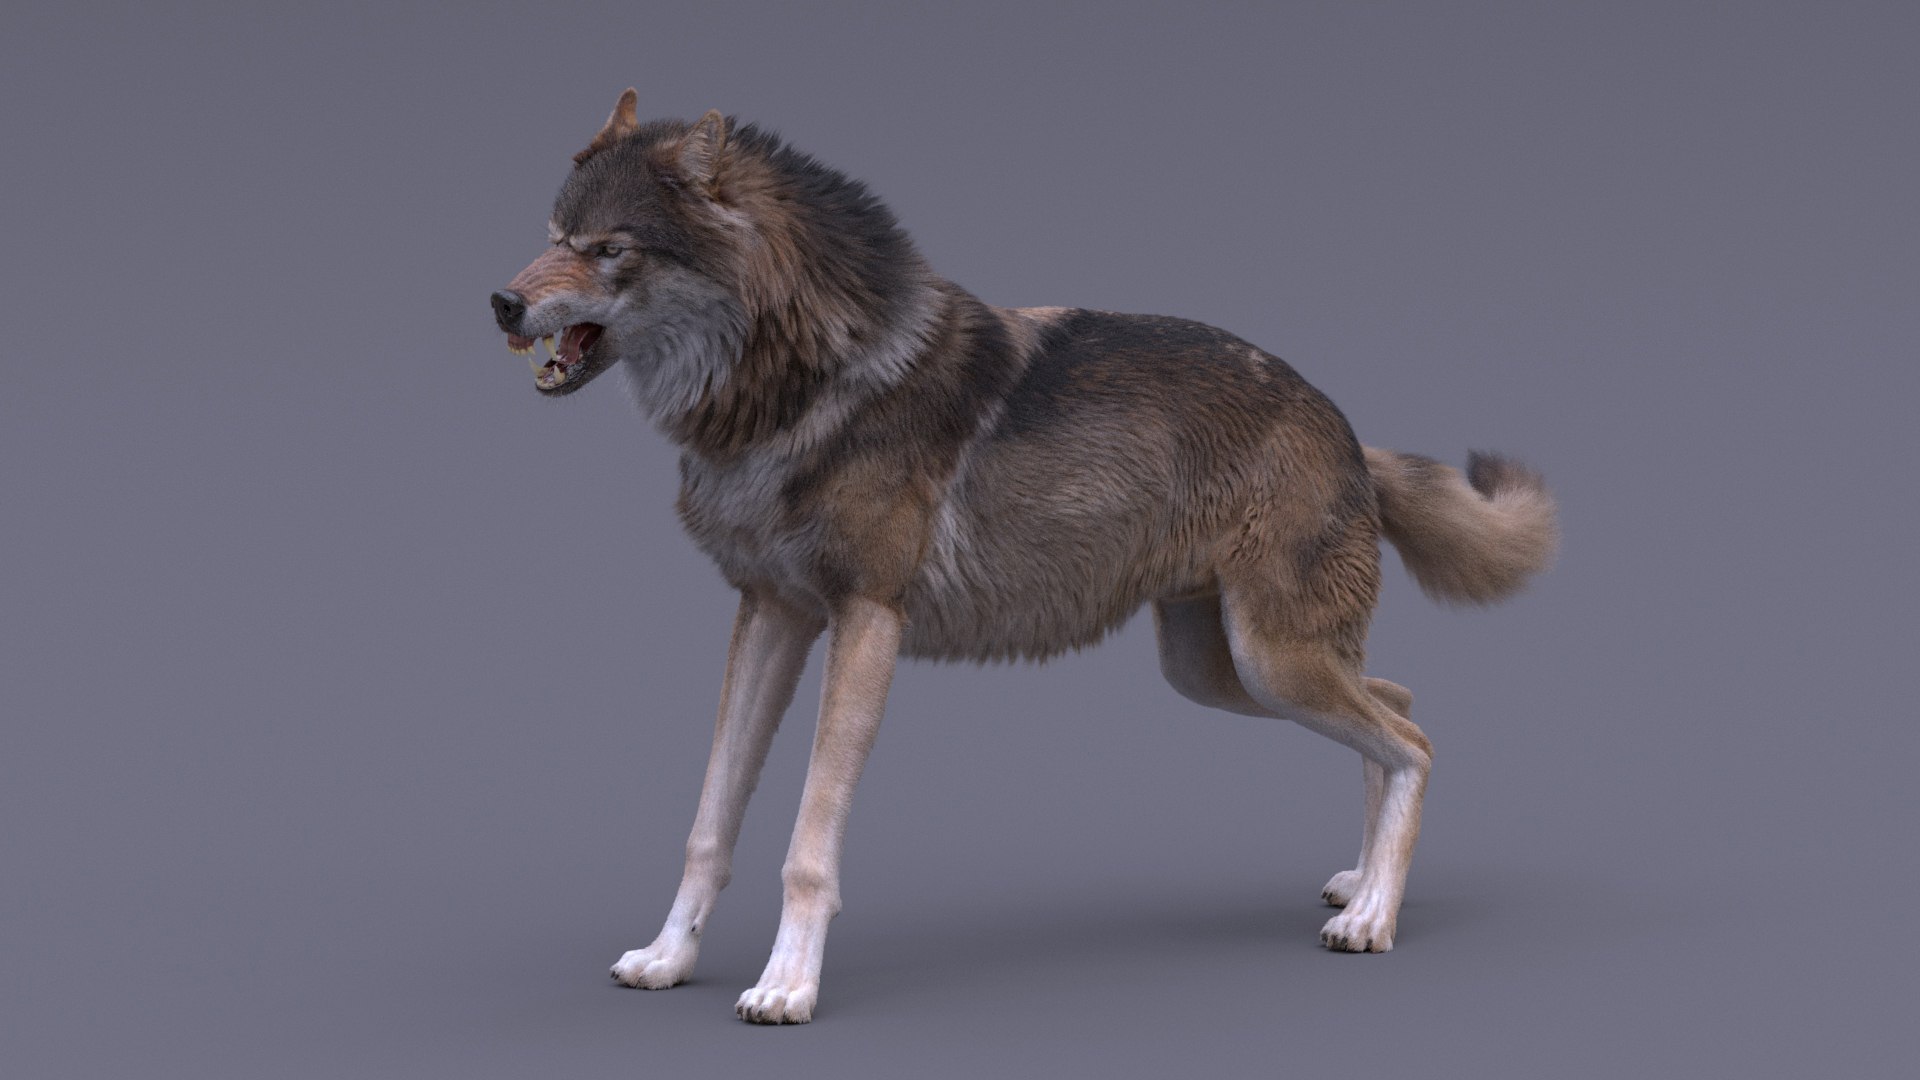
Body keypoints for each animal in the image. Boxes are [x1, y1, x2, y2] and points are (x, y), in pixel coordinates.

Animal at [490, 89, 1557, 1024]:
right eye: (550, 233)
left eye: (608, 250)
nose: (499, 301)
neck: (802, 390)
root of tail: (1347, 426)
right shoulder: (769, 612)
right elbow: (710, 821)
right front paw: (668, 959)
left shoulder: (865, 622)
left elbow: (808, 841)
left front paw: (787, 986)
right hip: (1219, 671)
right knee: (1400, 702)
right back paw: (1362, 884)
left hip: (1267, 663)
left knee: (1413, 738)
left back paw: (1374, 915)